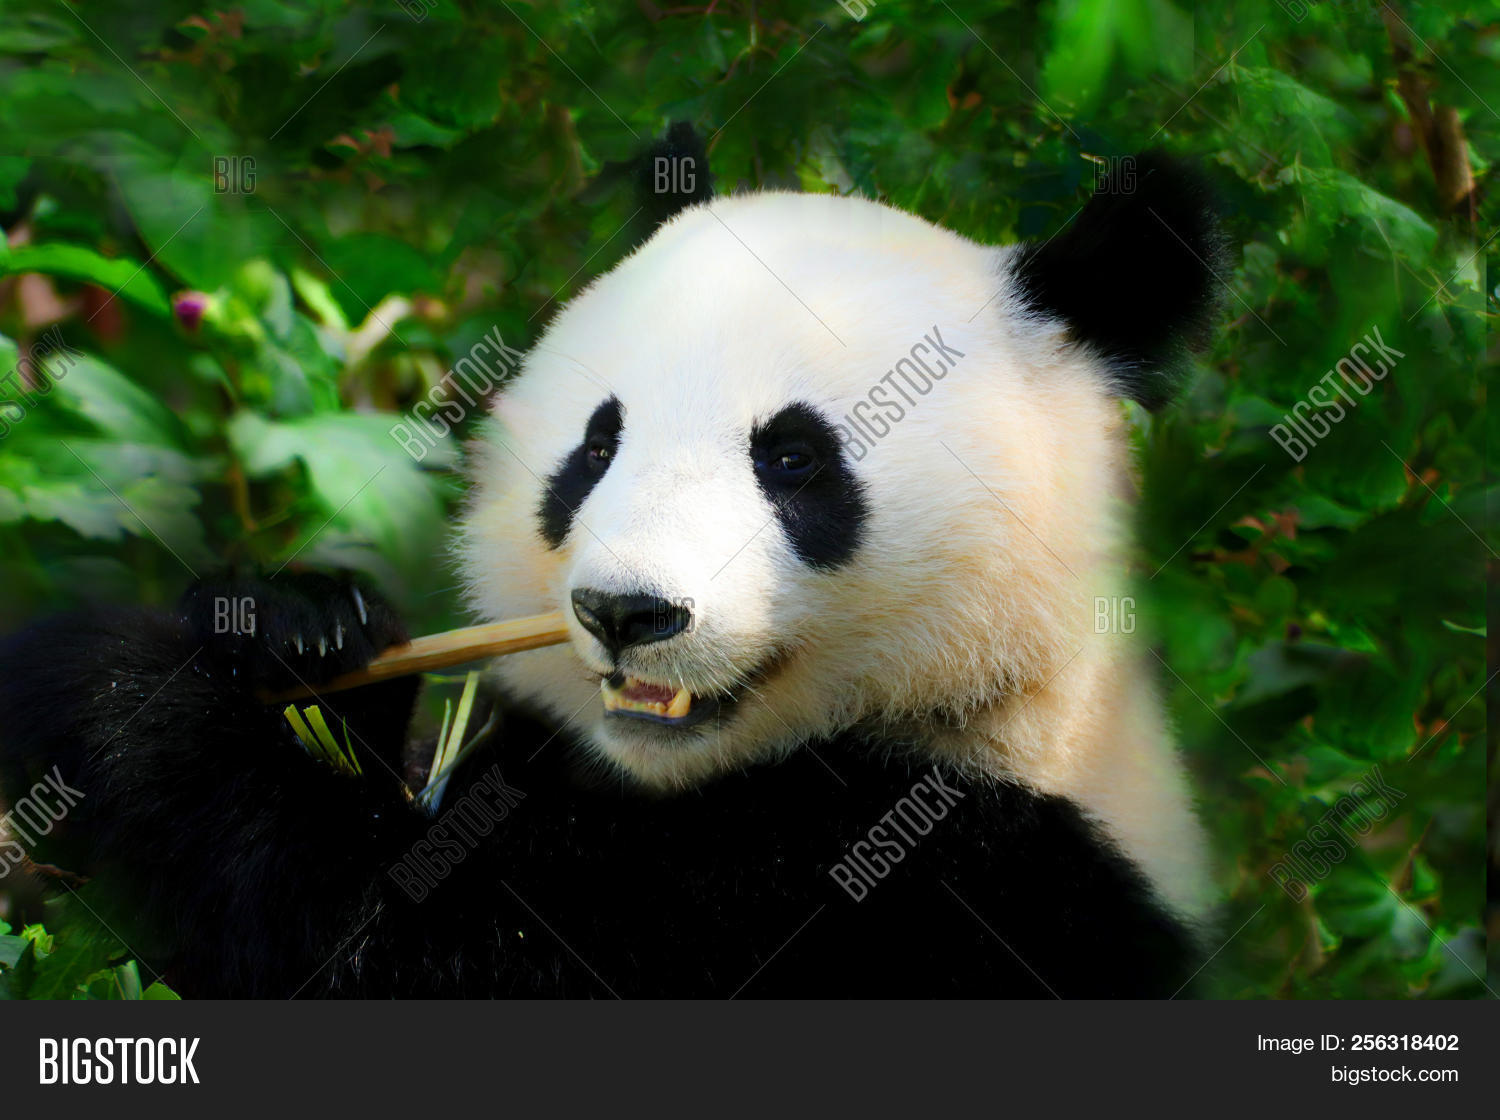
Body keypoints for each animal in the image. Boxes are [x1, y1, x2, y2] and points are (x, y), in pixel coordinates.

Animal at [0, 151, 1224, 998]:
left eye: (794, 458)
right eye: (597, 445)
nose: (627, 611)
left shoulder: (938, 884)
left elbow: (397, 937)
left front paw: (99, 681)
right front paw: (294, 627)